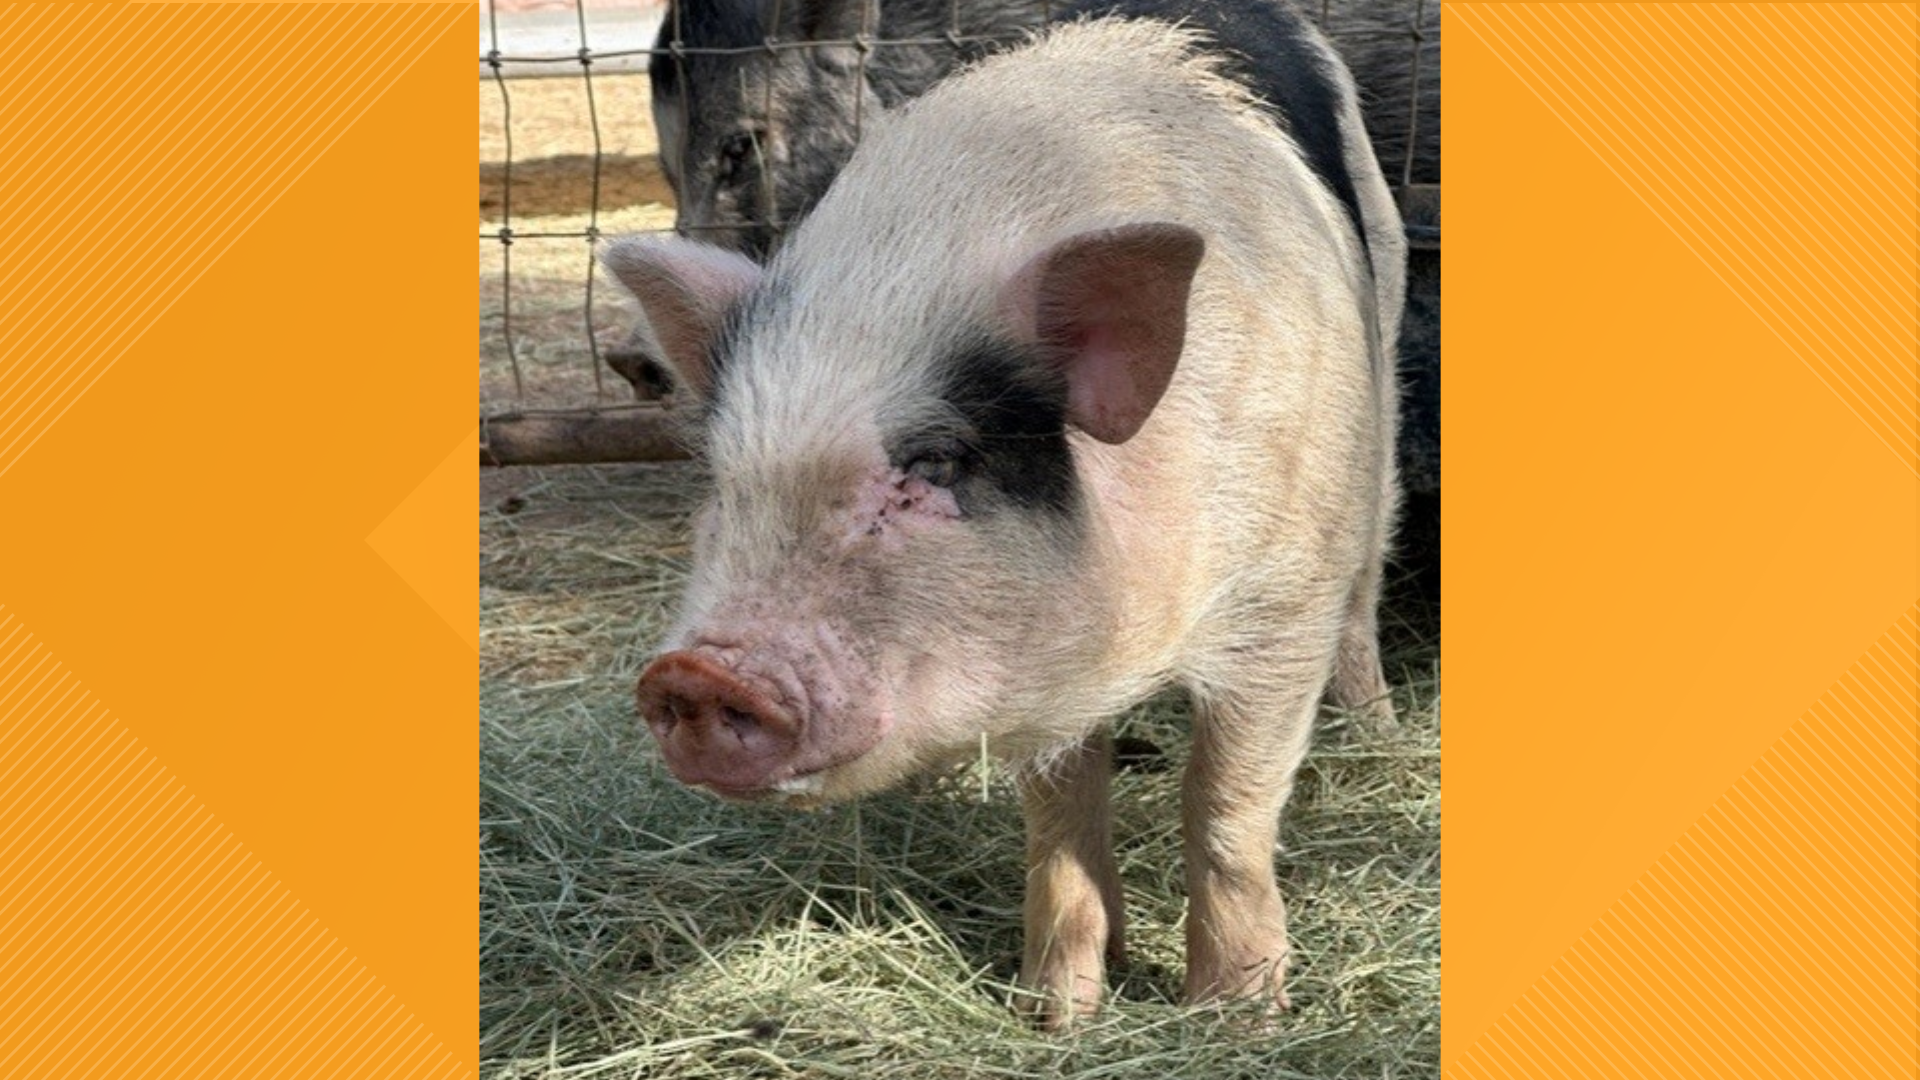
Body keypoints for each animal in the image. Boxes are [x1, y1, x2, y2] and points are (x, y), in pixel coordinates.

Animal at [605, 15, 1401, 1025]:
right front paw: (1056, 1014)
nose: (697, 672)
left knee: (1368, 585)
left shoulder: (1283, 596)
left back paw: (1377, 731)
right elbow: (1061, 812)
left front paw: (1235, 1021)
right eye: (721, 479)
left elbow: (1223, 805)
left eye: (937, 464)